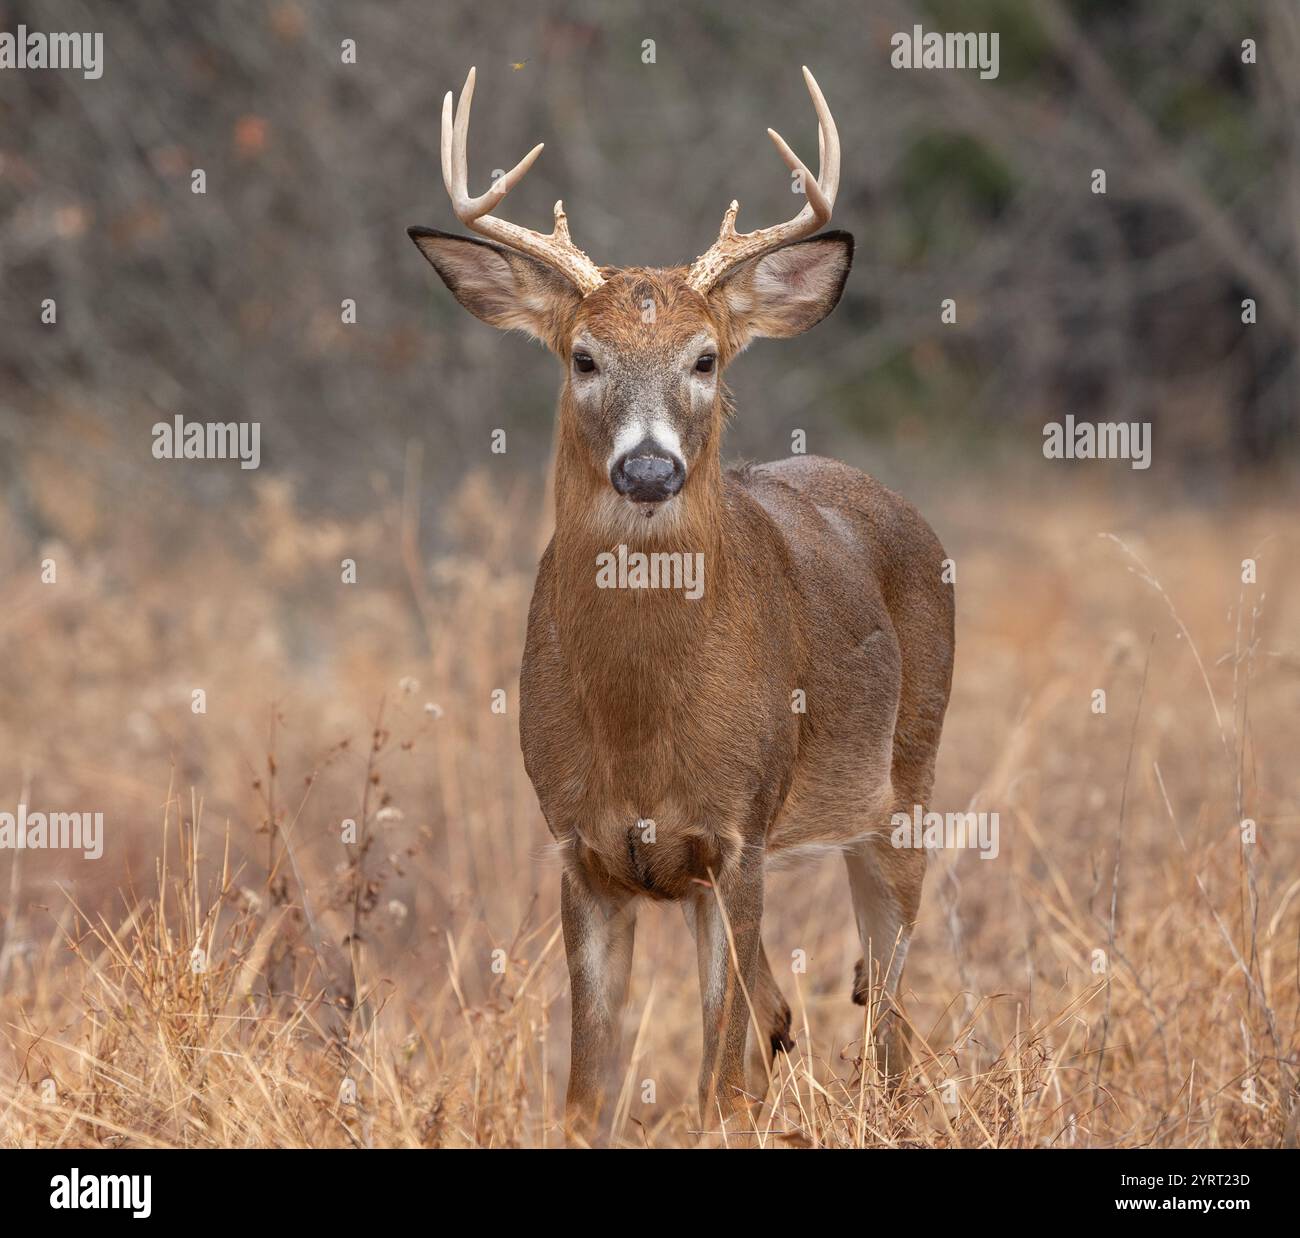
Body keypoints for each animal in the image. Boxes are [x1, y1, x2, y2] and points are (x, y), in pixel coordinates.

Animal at [409, 66, 955, 1143]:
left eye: (705, 357)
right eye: (582, 357)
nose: (651, 467)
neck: (641, 724)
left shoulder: (734, 835)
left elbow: (720, 1088)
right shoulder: (579, 845)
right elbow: (587, 1094)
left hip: (905, 783)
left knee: (888, 1011)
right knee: (801, 1009)